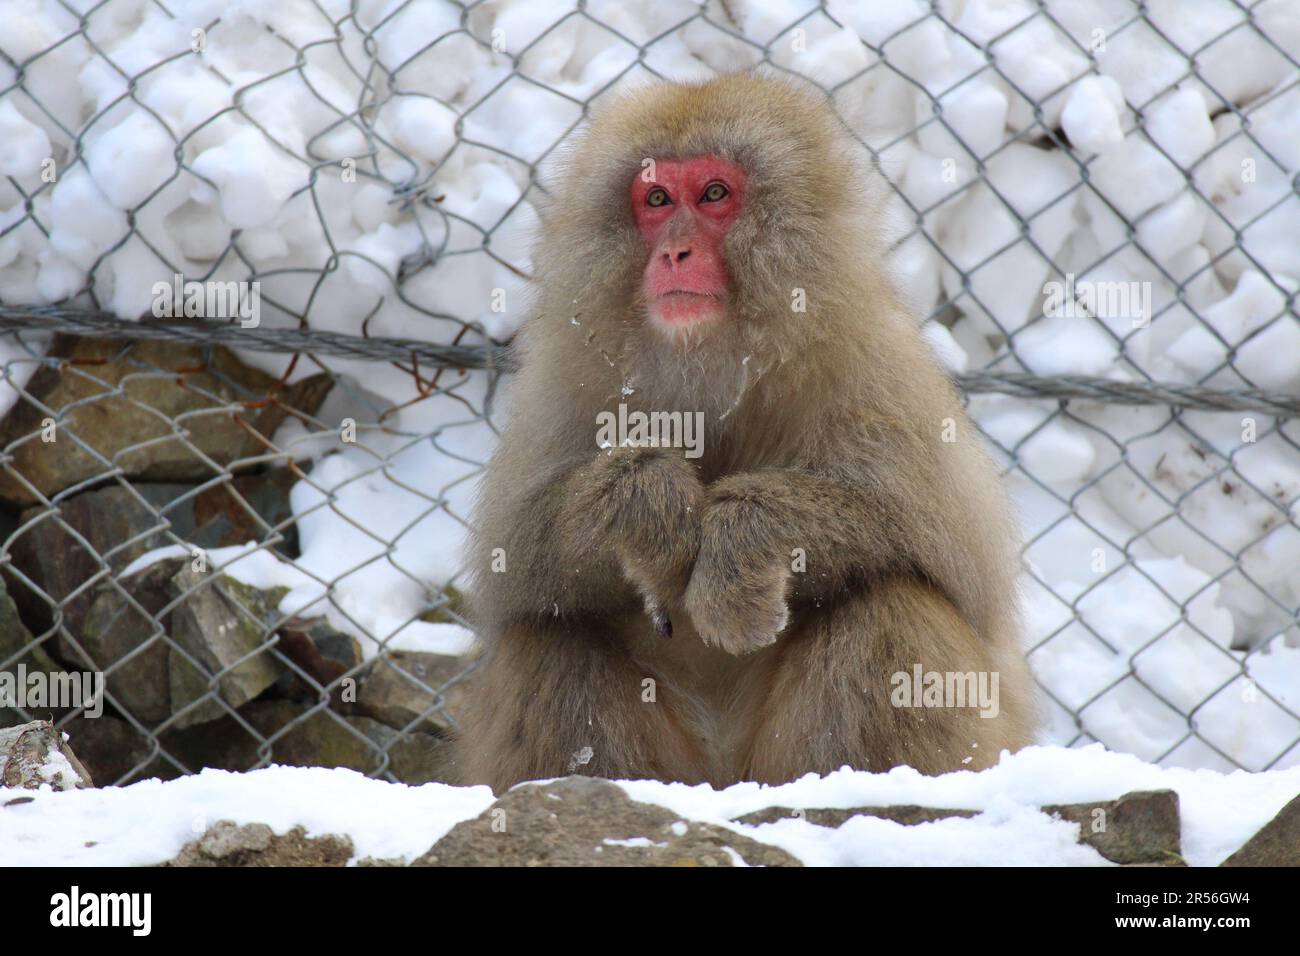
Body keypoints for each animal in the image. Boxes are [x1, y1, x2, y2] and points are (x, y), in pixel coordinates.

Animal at [455, 73, 1038, 793]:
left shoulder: (878, 363)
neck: (716, 360)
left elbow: (952, 551)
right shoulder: (564, 379)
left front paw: (743, 536)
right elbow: (513, 563)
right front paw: (644, 506)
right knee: (547, 632)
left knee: (889, 601)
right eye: (656, 199)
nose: (674, 251)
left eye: (713, 194)